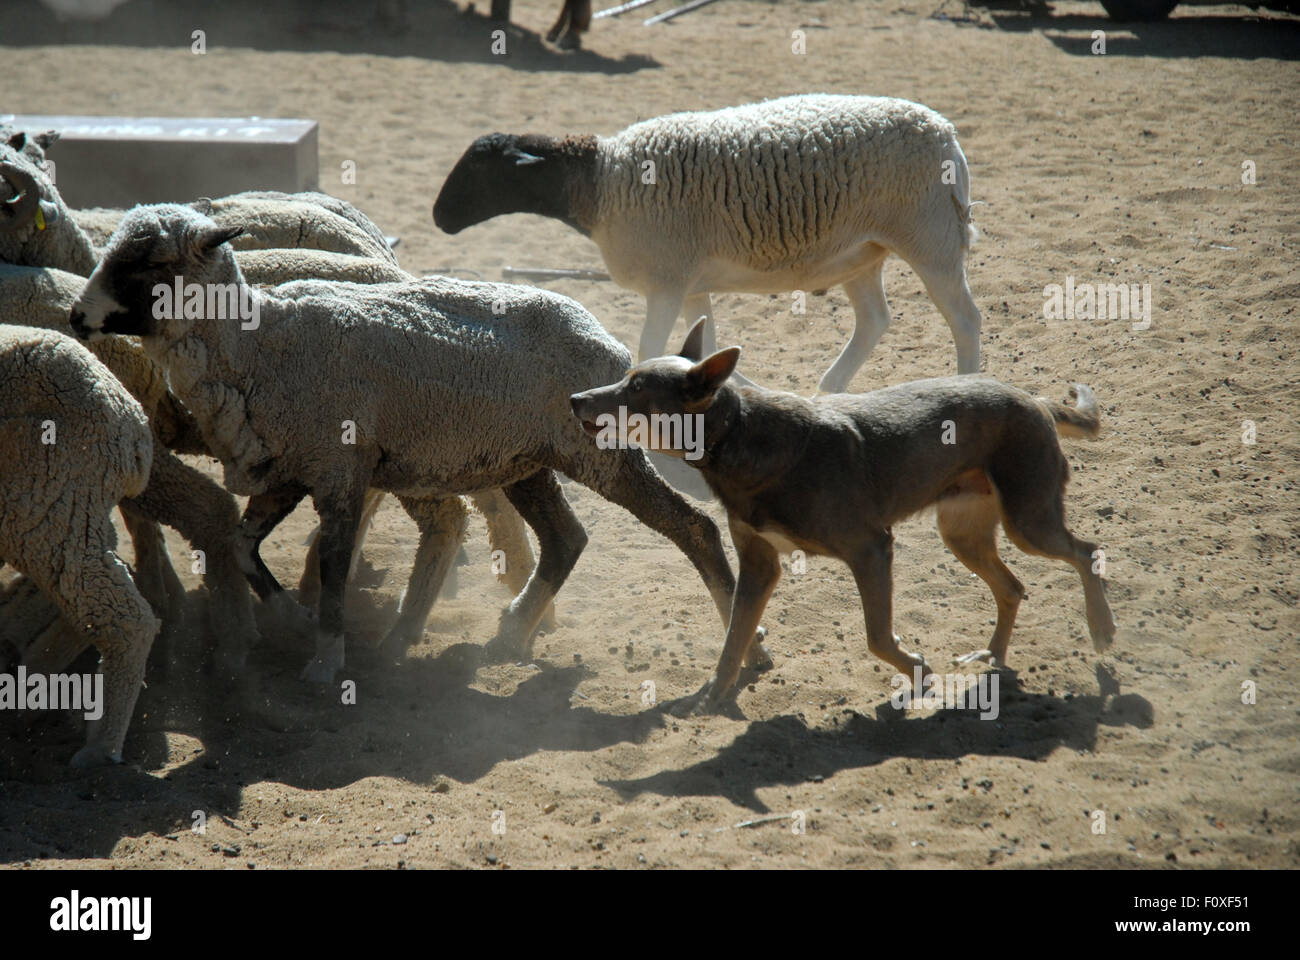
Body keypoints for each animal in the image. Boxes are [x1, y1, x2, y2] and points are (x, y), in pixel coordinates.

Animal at [73, 203, 753, 685]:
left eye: (146, 264)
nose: (78, 317)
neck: (261, 344)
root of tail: (604, 339)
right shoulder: (288, 469)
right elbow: (241, 547)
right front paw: (291, 619)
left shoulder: (340, 471)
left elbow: (335, 568)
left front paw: (326, 661)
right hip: (524, 461)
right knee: (566, 539)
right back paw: (509, 636)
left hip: (597, 451)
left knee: (692, 527)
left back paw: (744, 642)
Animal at [433, 94, 983, 393]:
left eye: (480, 169)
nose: (439, 217)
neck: (602, 181)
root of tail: (950, 135)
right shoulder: (692, 283)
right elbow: (707, 346)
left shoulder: (668, 280)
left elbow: (649, 349)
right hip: (862, 252)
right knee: (874, 320)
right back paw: (828, 392)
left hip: (929, 236)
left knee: (964, 319)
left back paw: (964, 388)